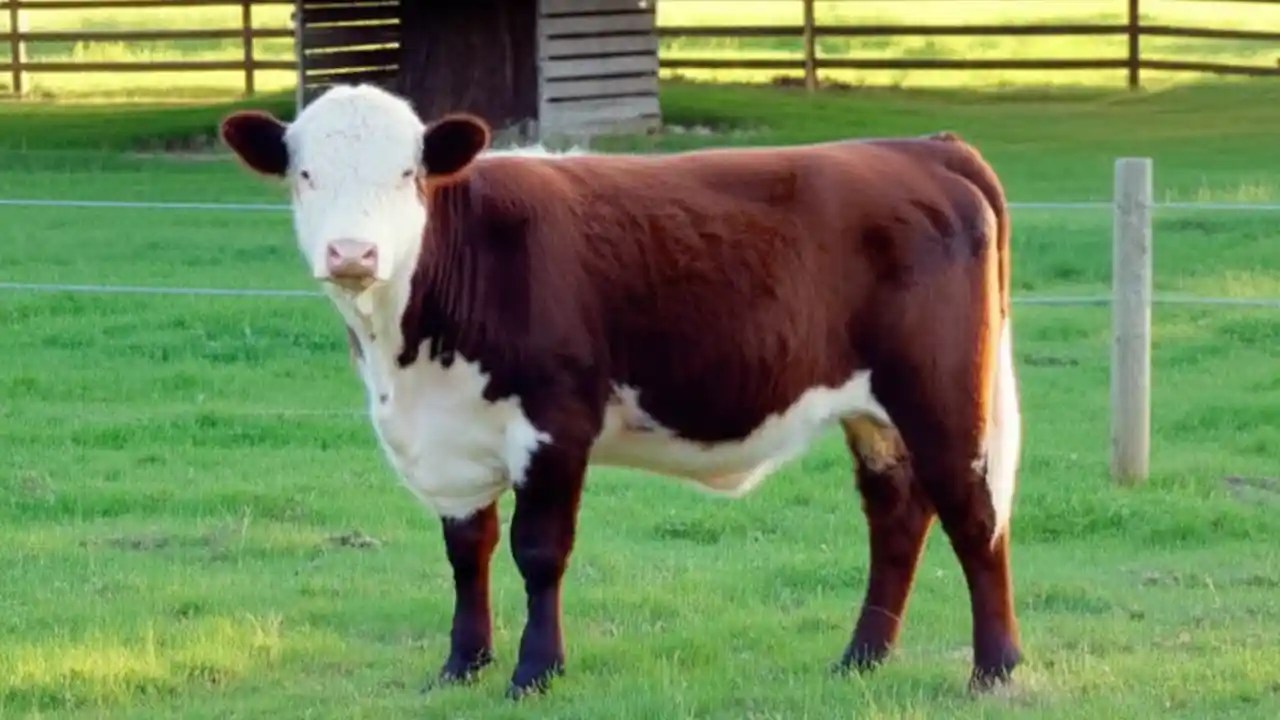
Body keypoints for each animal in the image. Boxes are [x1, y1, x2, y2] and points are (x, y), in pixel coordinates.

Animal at [218, 83, 1024, 699]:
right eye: (304, 175)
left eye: (408, 175)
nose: (352, 253)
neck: (406, 358)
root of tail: (921, 146)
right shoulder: (450, 440)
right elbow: (466, 552)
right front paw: (461, 666)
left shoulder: (554, 424)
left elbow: (538, 551)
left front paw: (534, 673)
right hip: (875, 415)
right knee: (897, 516)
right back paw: (861, 658)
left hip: (943, 396)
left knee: (973, 514)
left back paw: (995, 670)